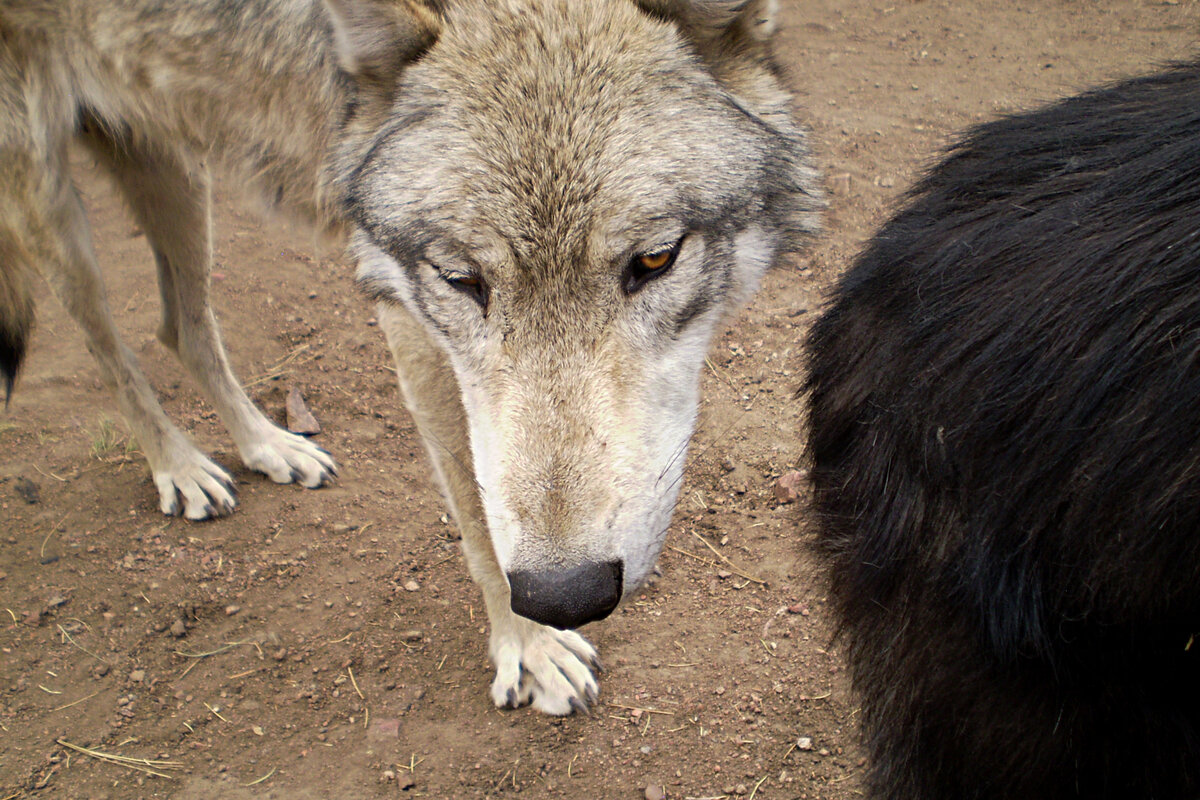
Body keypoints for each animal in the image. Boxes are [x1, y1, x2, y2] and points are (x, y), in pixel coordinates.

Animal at [0, 0, 820, 714]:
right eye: (460, 279)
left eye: (655, 259)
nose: (567, 597)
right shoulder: (412, 321)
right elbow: (478, 514)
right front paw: (530, 650)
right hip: (57, 207)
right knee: (110, 347)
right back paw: (180, 469)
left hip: (175, 175)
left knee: (182, 329)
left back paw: (269, 447)